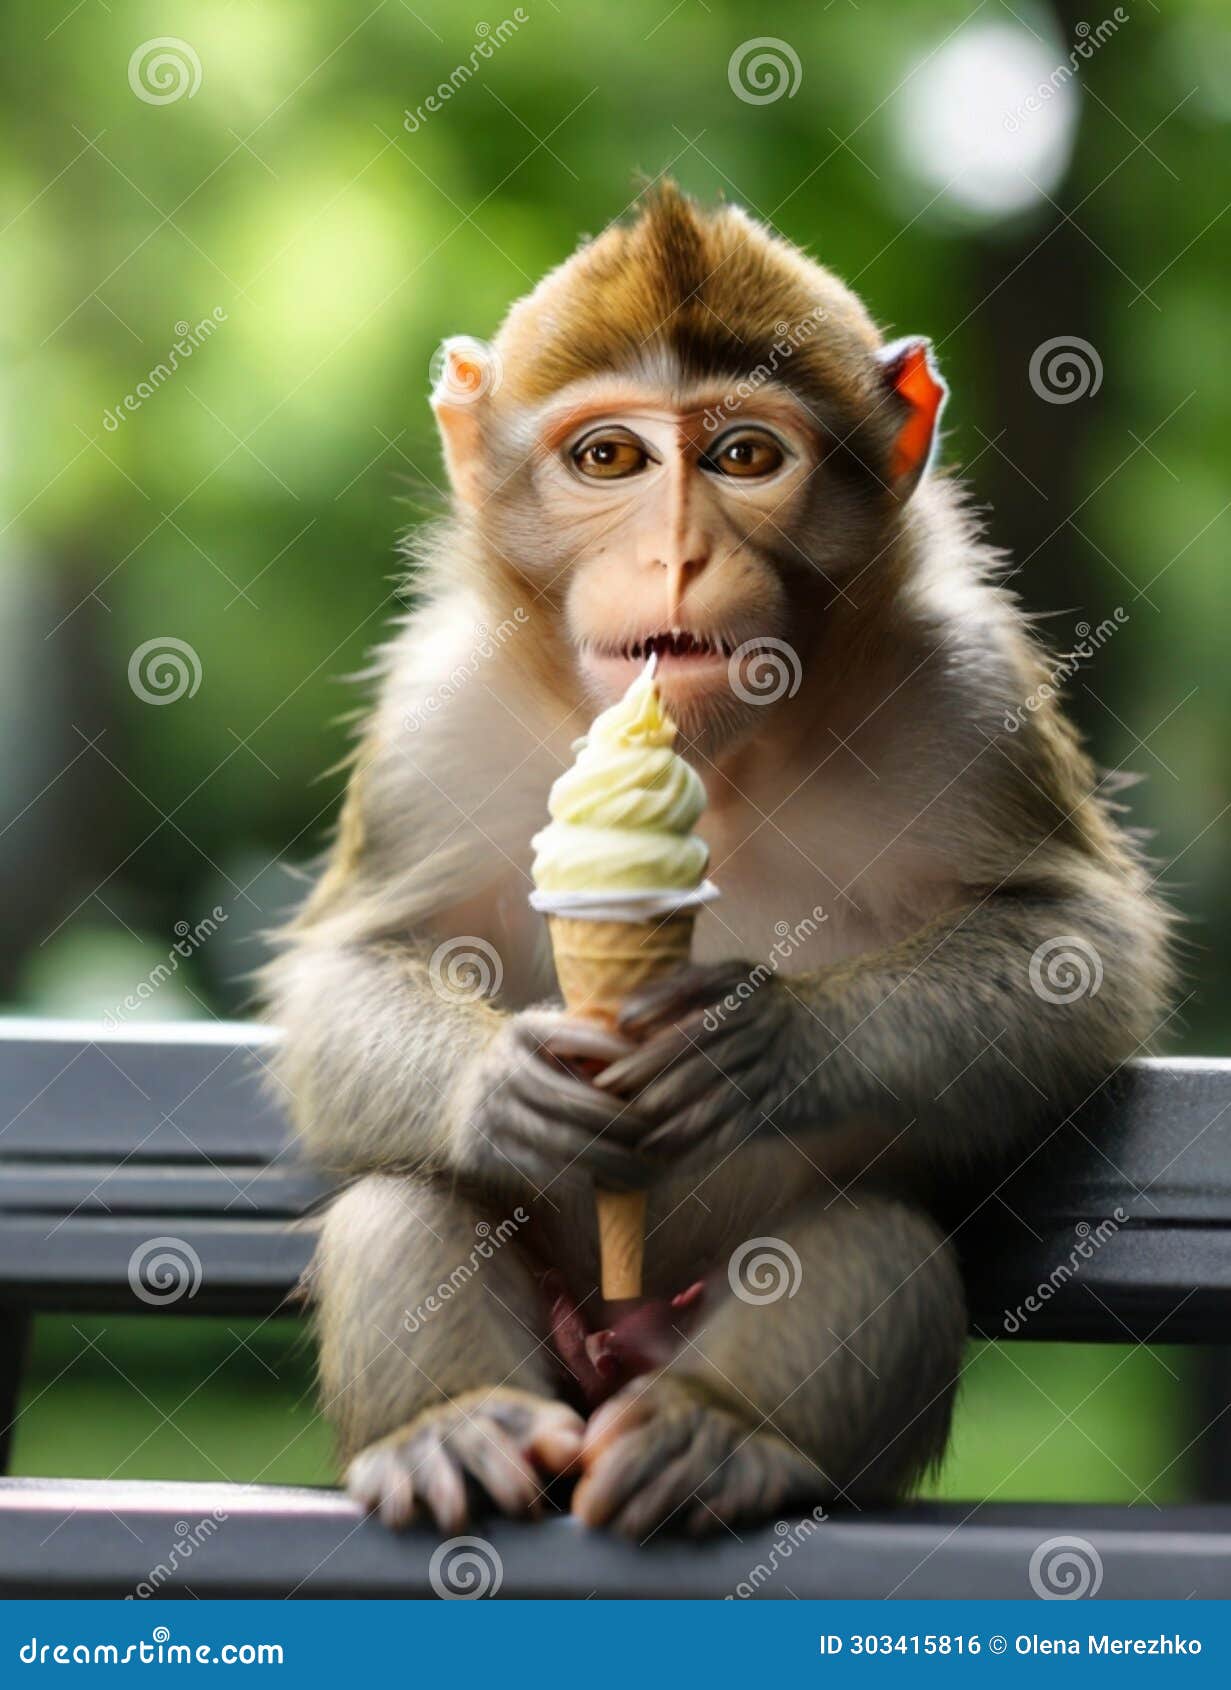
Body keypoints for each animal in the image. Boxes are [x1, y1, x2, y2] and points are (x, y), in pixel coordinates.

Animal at [264, 183, 1173, 1539]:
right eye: (608, 459)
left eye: (746, 456)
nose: (677, 553)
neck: (721, 762)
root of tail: (621, 1345)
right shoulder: (435, 711)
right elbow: (356, 960)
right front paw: (508, 1086)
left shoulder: (971, 692)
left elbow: (1078, 945)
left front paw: (770, 1043)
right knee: (400, 1204)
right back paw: (450, 1429)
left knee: (878, 1241)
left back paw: (721, 1436)